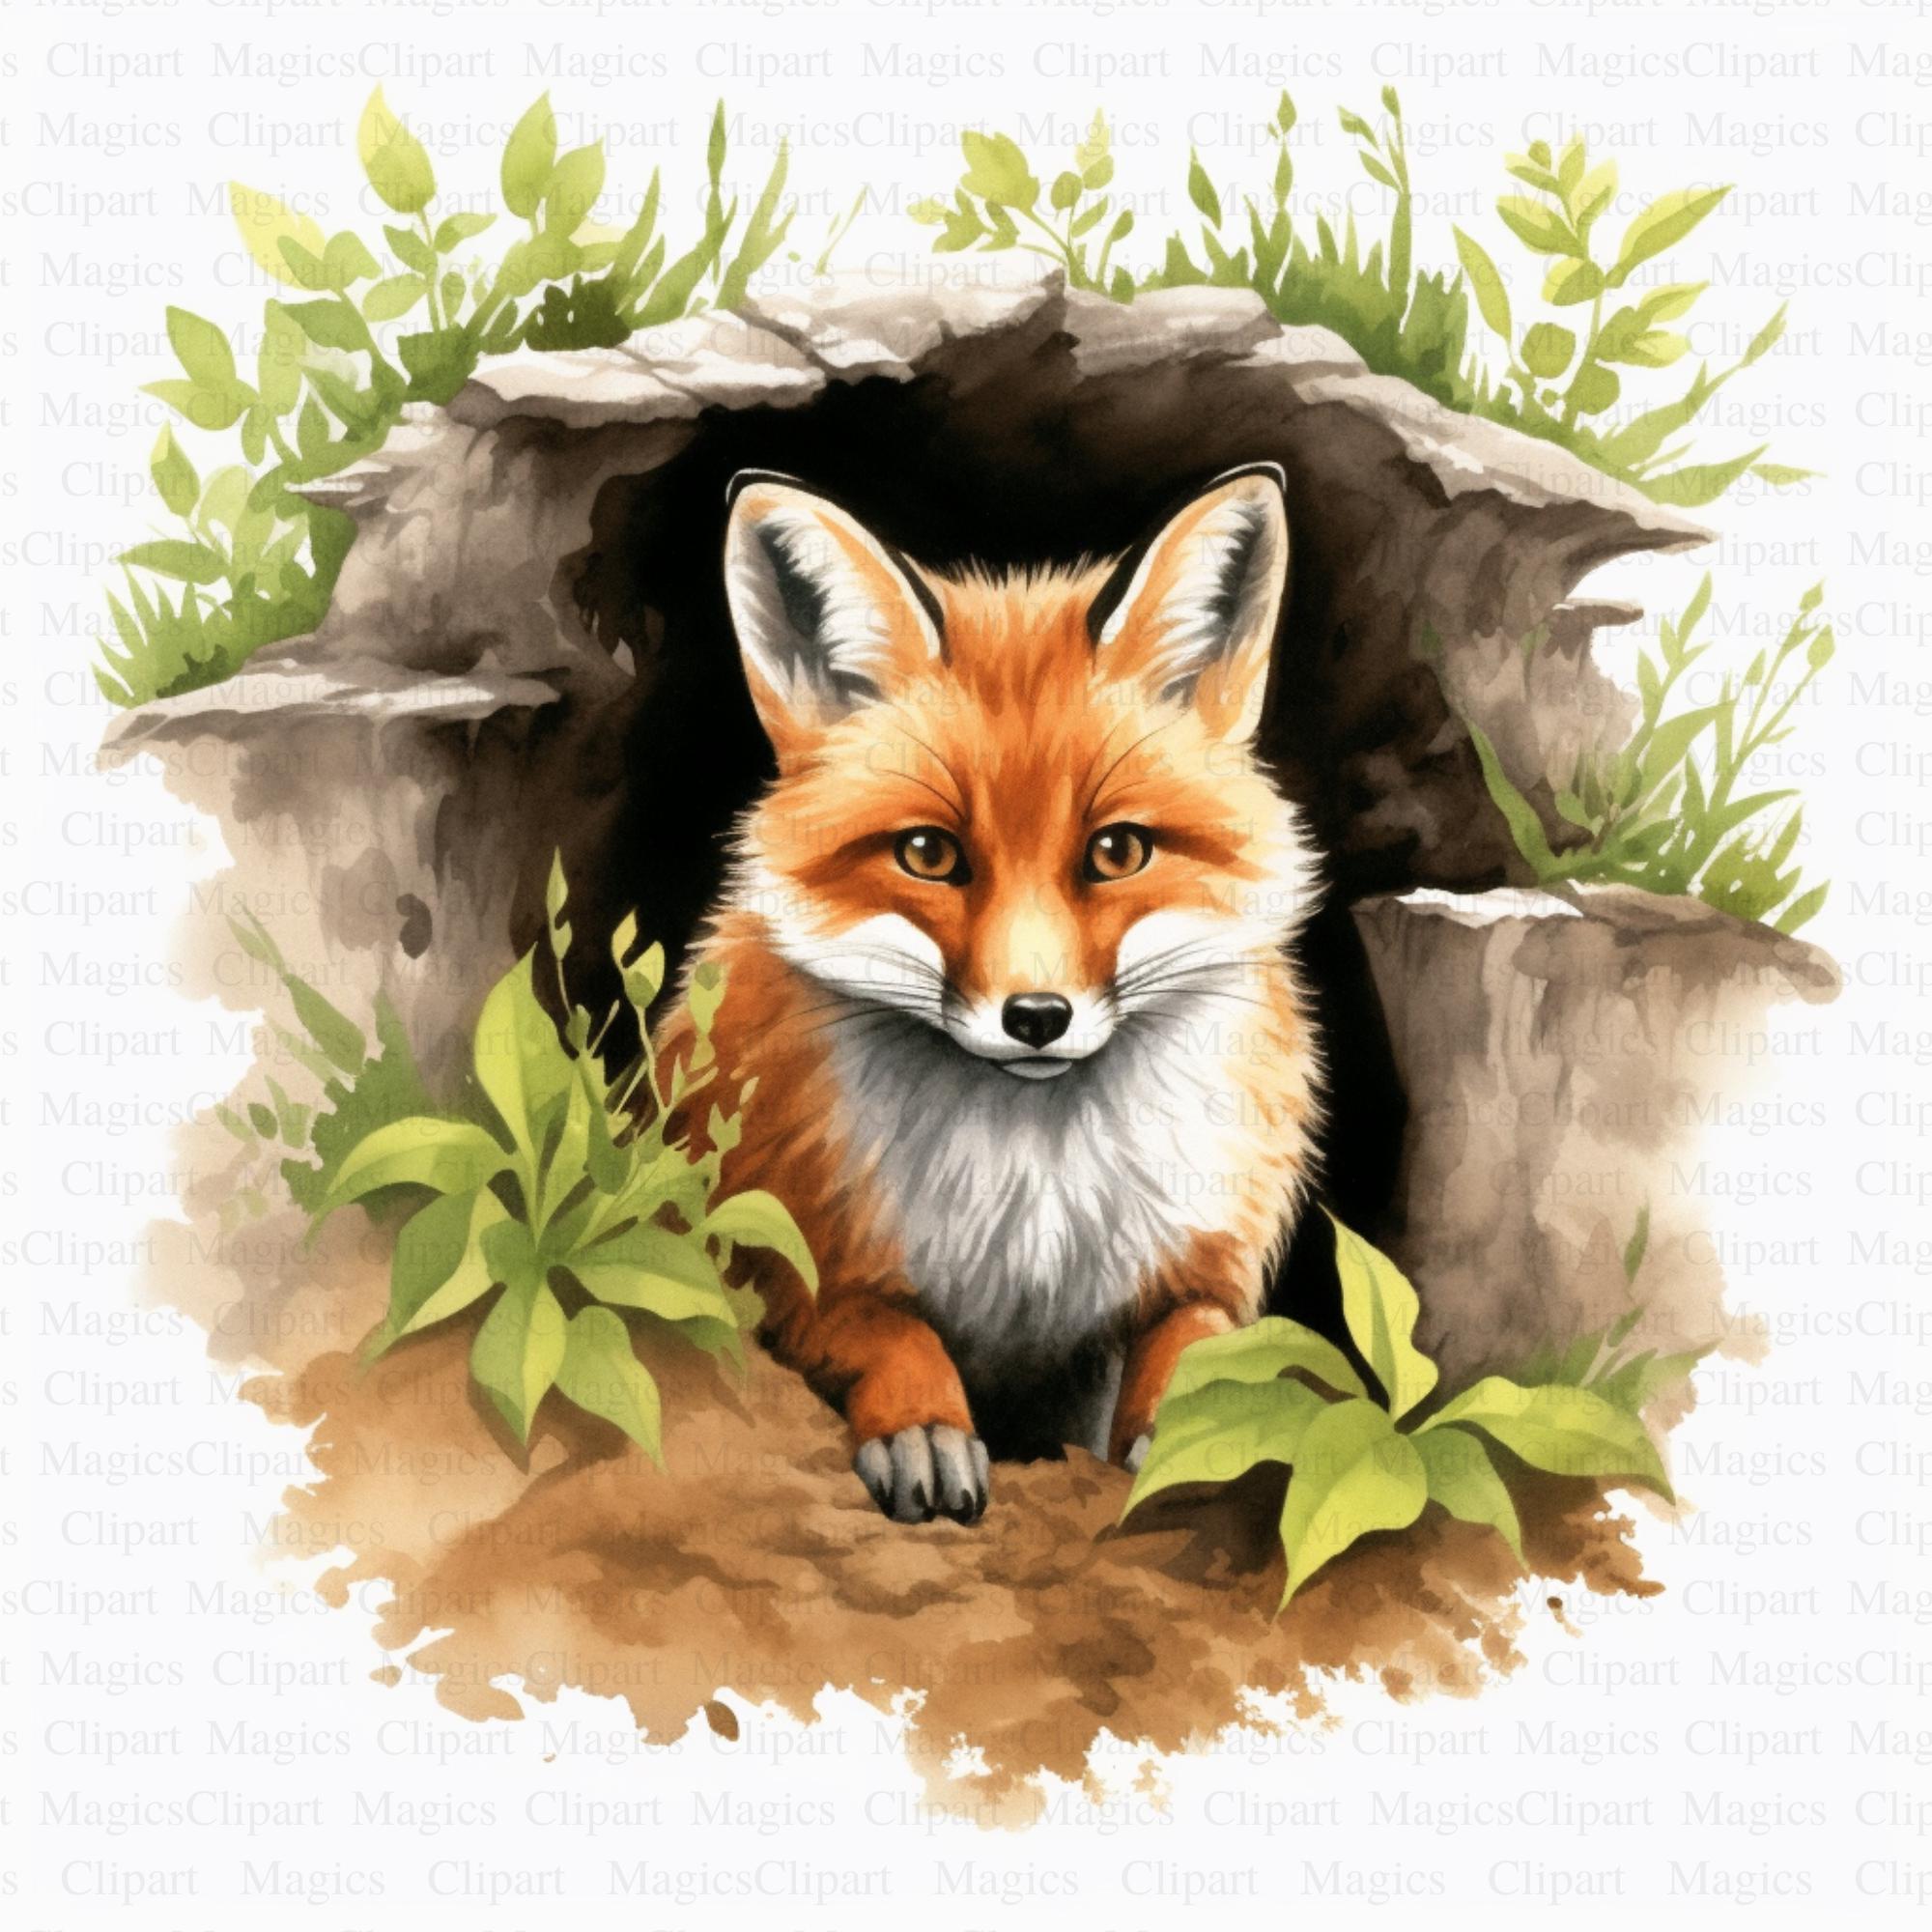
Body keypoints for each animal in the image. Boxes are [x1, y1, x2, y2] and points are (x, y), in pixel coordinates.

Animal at [651, 463, 1324, 1524]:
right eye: (929, 854)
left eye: (1116, 850)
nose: (1036, 1018)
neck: (1033, 1198)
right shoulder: (782, 1253)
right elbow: (886, 1326)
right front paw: (925, 1425)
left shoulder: (1202, 1255)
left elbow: (1197, 1340)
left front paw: (1194, 1428)